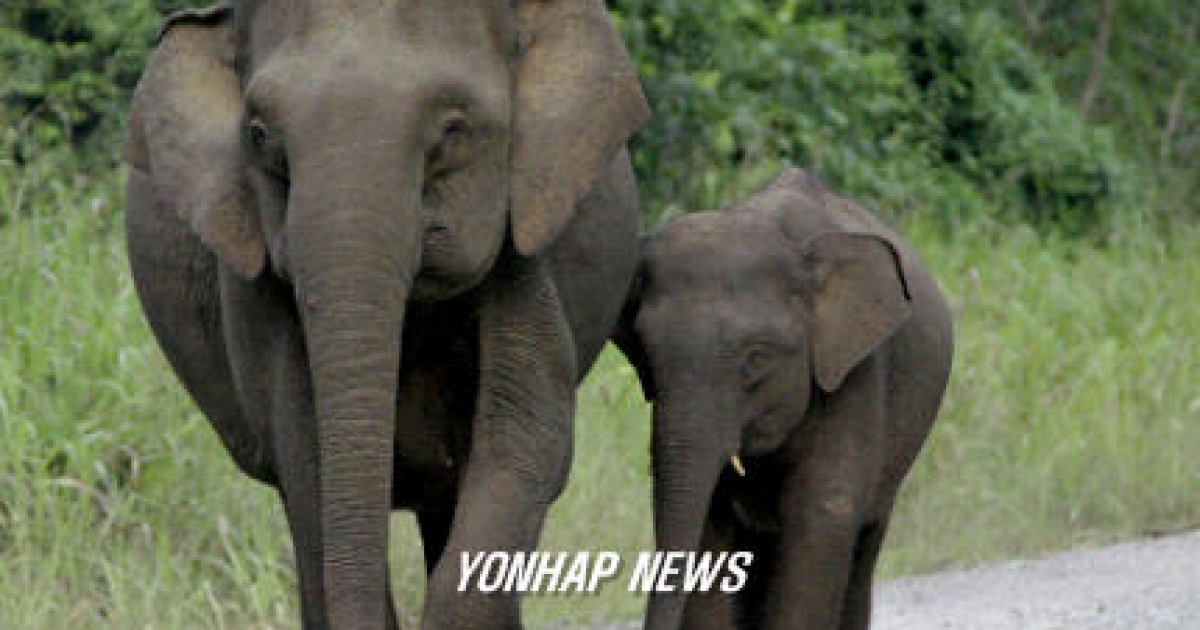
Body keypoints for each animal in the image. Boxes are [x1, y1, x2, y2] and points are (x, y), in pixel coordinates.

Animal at [122, 2, 648, 628]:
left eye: (454, 129)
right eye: (259, 136)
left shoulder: (527, 233)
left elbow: (528, 435)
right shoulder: (252, 277)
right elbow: (304, 448)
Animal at [614, 168, 954, 630]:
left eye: (757, 357)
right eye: (646, 355)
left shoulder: (854, 372)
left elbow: (823, 513)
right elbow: (710, 521)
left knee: (864, 543)